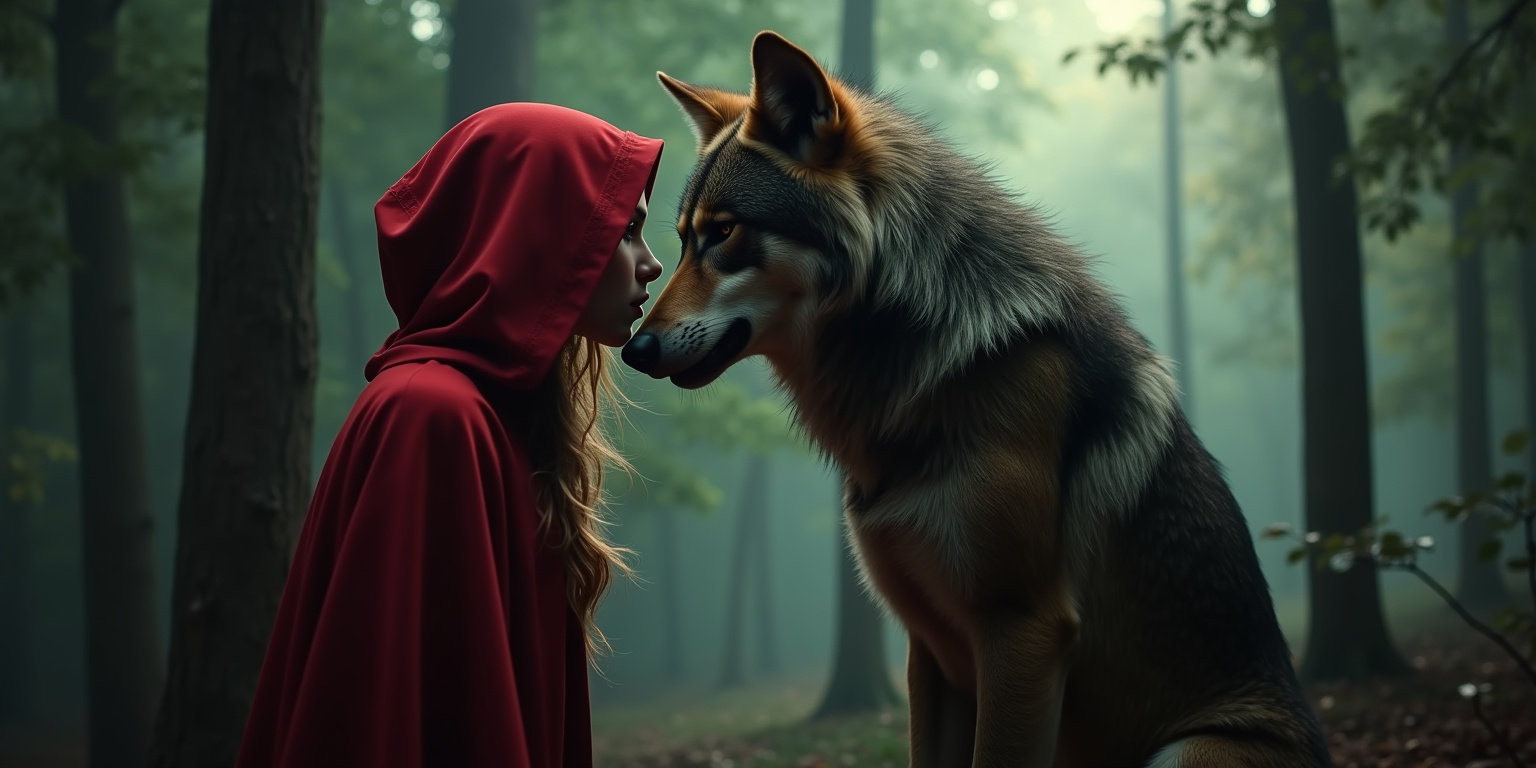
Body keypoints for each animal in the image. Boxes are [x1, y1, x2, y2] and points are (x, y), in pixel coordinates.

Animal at [621, 31, 1331, 768]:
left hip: (1186, 751)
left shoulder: (1022, 631)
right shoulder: (931, 648)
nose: (633, 348)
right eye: (682, 239)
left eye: (725, 233)